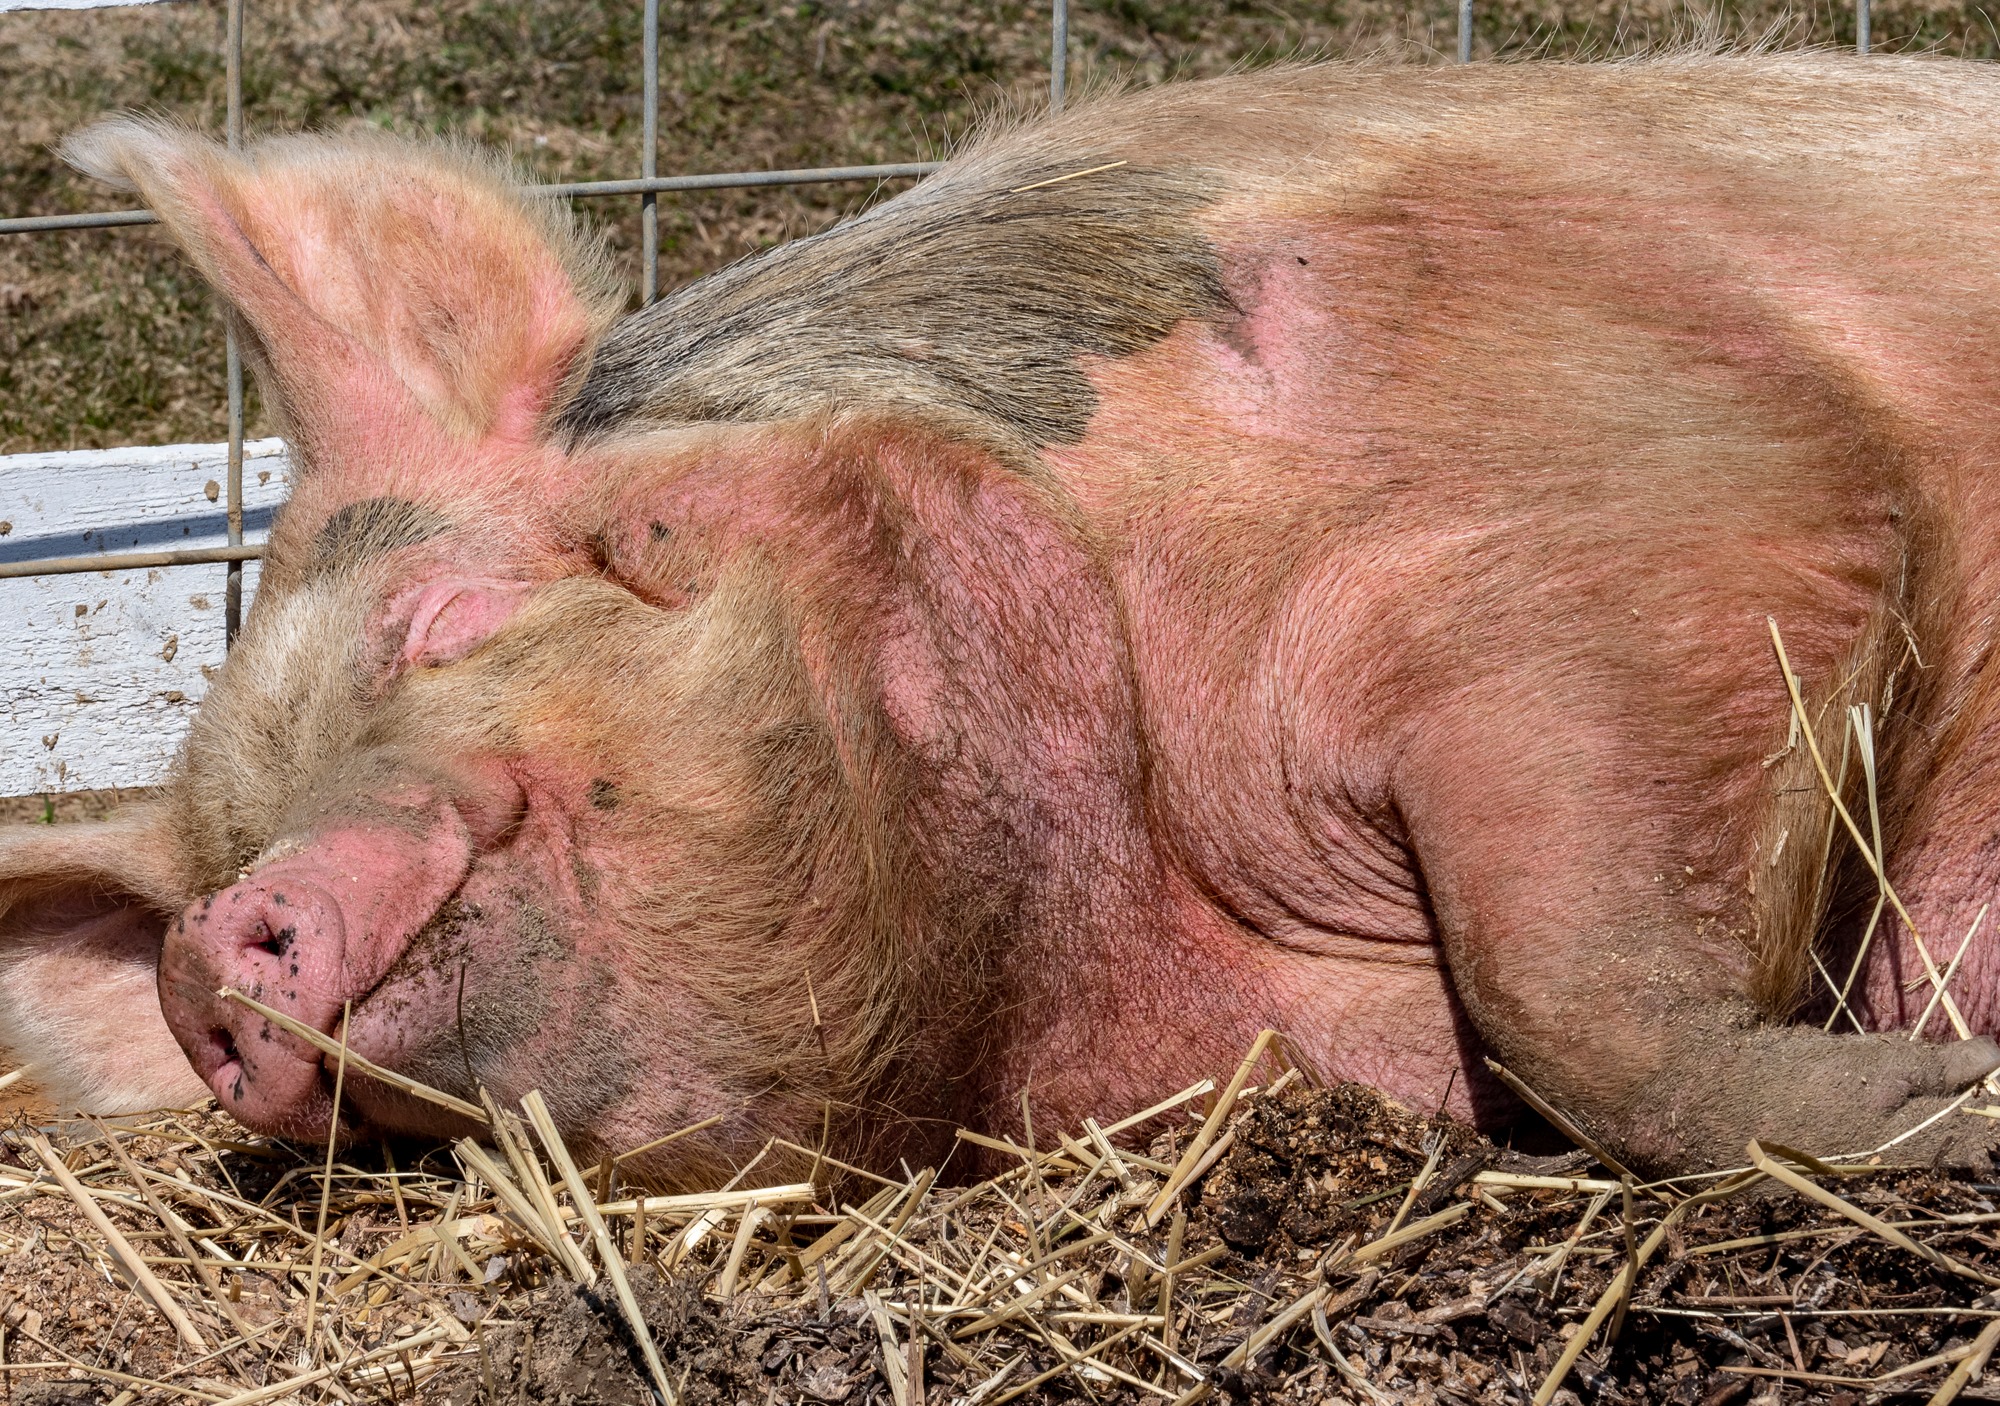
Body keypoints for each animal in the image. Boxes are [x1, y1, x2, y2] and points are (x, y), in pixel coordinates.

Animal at [8, 52, 2000, 1182]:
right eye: (227, 849)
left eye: (442, 618)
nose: (221, 939)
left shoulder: (1643, 456)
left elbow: (1580, 994)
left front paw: (1949, 1099)